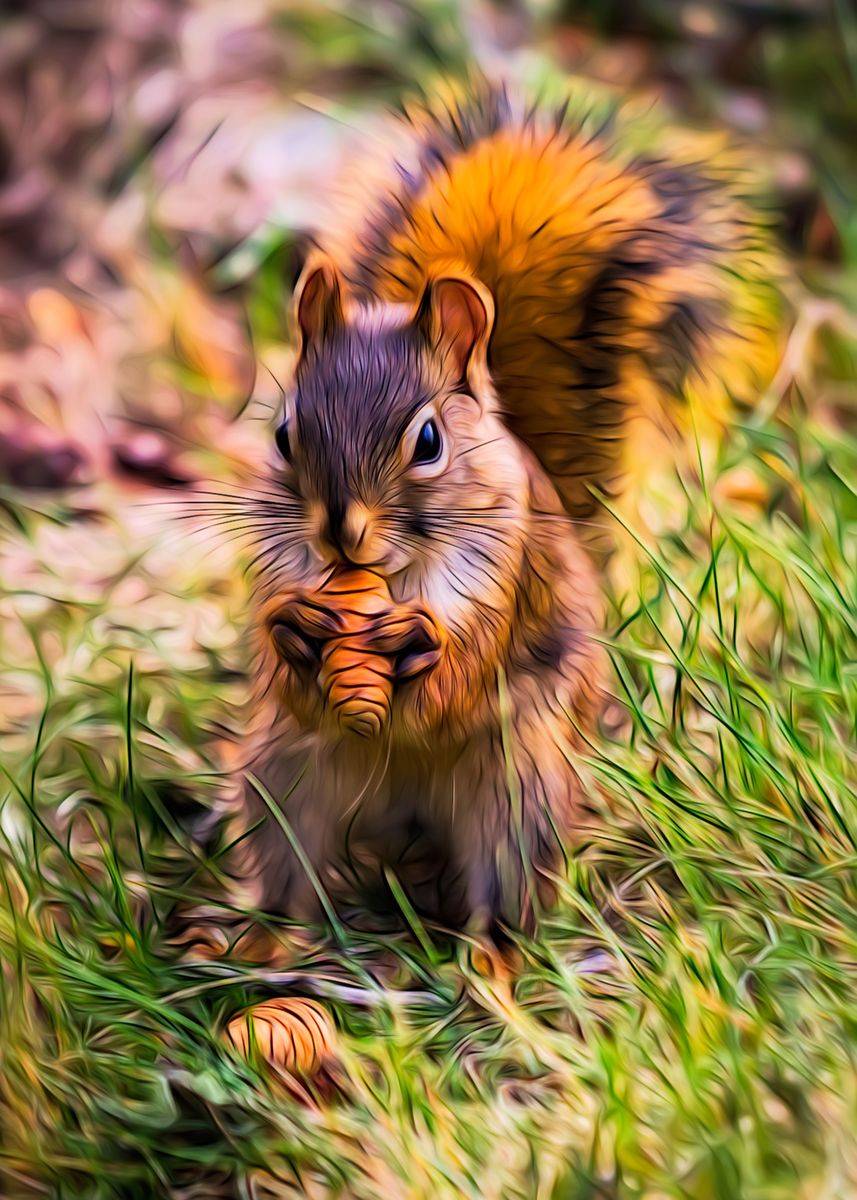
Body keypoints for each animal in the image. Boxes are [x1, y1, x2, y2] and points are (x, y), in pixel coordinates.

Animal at [195, 82, 782, 1067]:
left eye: (428, 440)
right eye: (282, 435)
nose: (341, 535)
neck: (390, 577)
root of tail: (403, 833)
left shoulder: (506, 581)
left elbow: (462, 673)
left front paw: (418, 645)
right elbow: (286, 657)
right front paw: (295, 633)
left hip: (520, 795)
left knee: (501, 908)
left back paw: (490, 973)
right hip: (286, 782)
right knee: (295, 882)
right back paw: (255, 943)